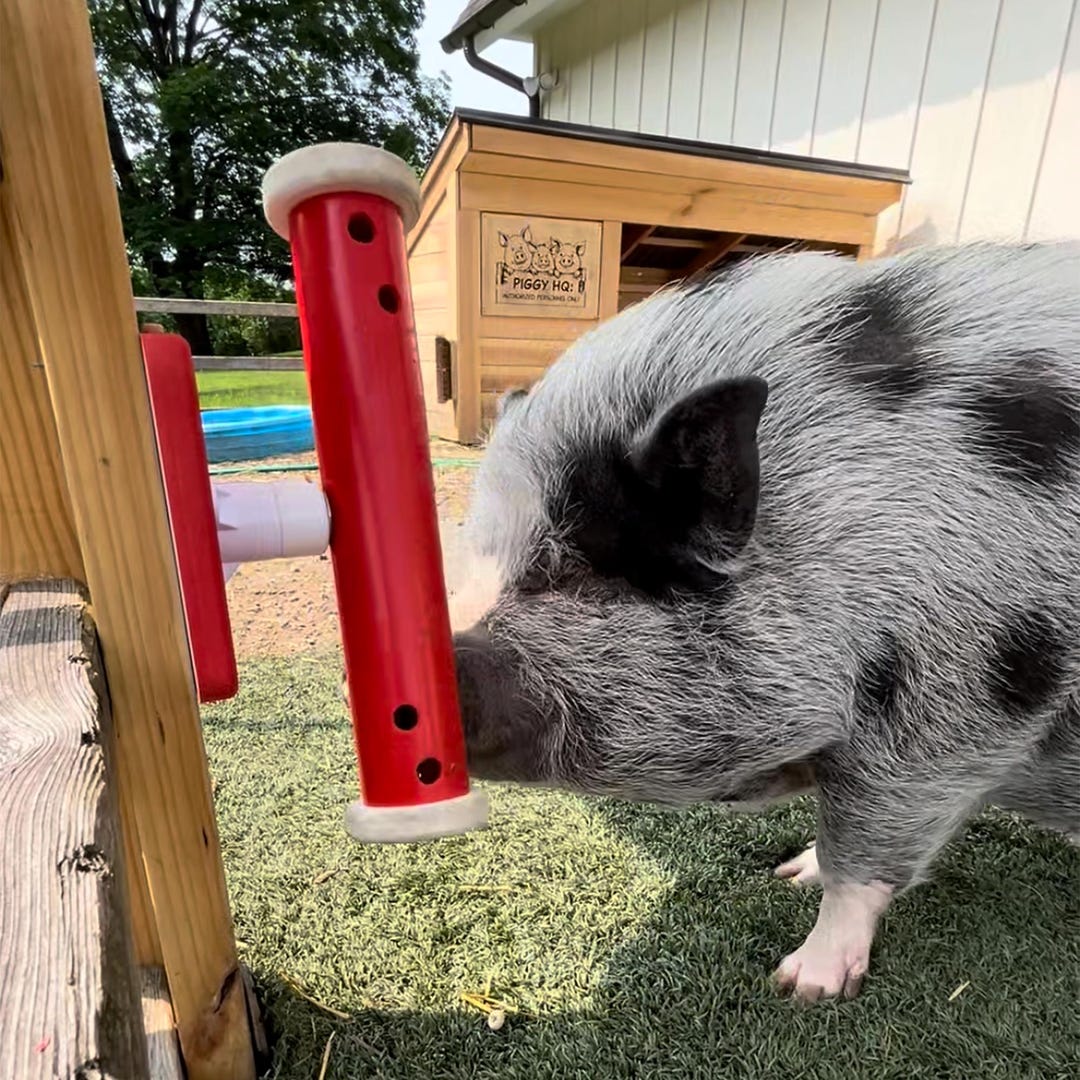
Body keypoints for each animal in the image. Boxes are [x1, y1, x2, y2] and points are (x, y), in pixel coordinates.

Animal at [451, 241, 1080, 1003]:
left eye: (567, 572)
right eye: (473, 552)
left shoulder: (957, 706)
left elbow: (863, 859)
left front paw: (803, 985)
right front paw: (788, 873)